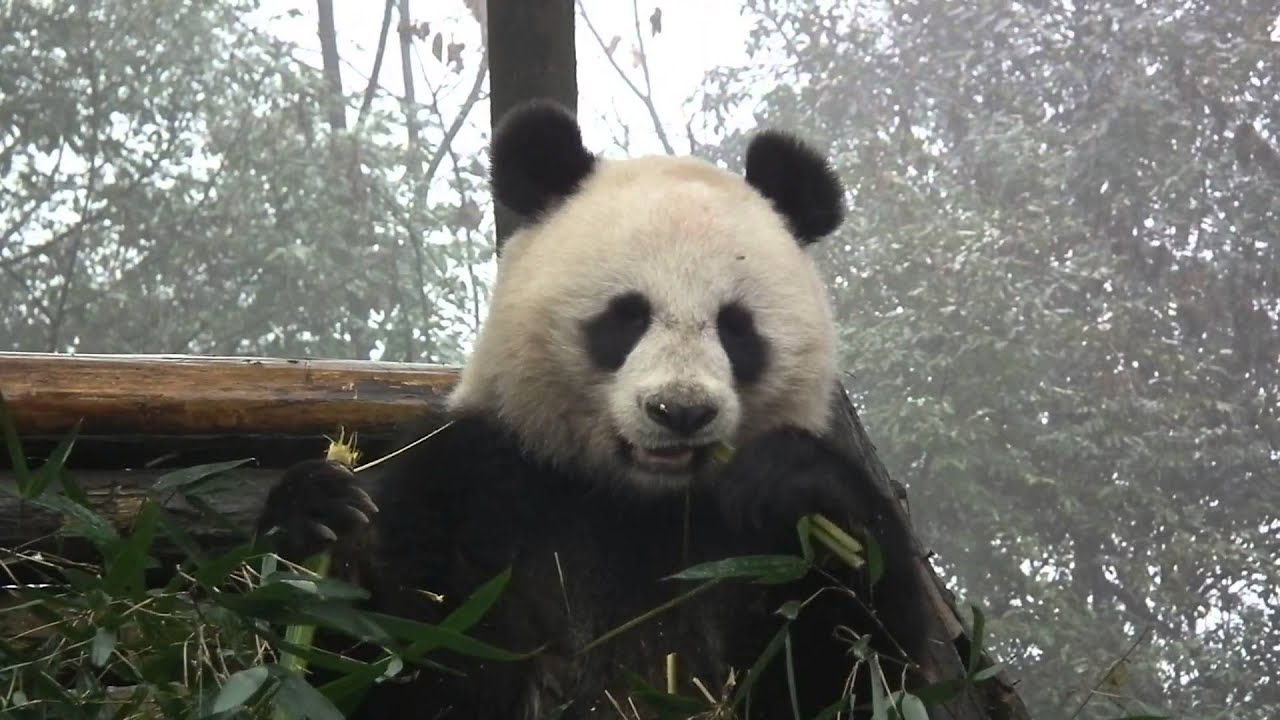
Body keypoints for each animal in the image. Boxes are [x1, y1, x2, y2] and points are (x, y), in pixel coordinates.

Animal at [257, 99, 932, 719]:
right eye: (626, 316)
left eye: (736, 329)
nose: (680, 411)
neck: (637, 502)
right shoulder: (472, 481)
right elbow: (395, 663)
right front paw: (315, 521)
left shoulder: (743, 544)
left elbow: (860, 671)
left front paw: (796, 484)